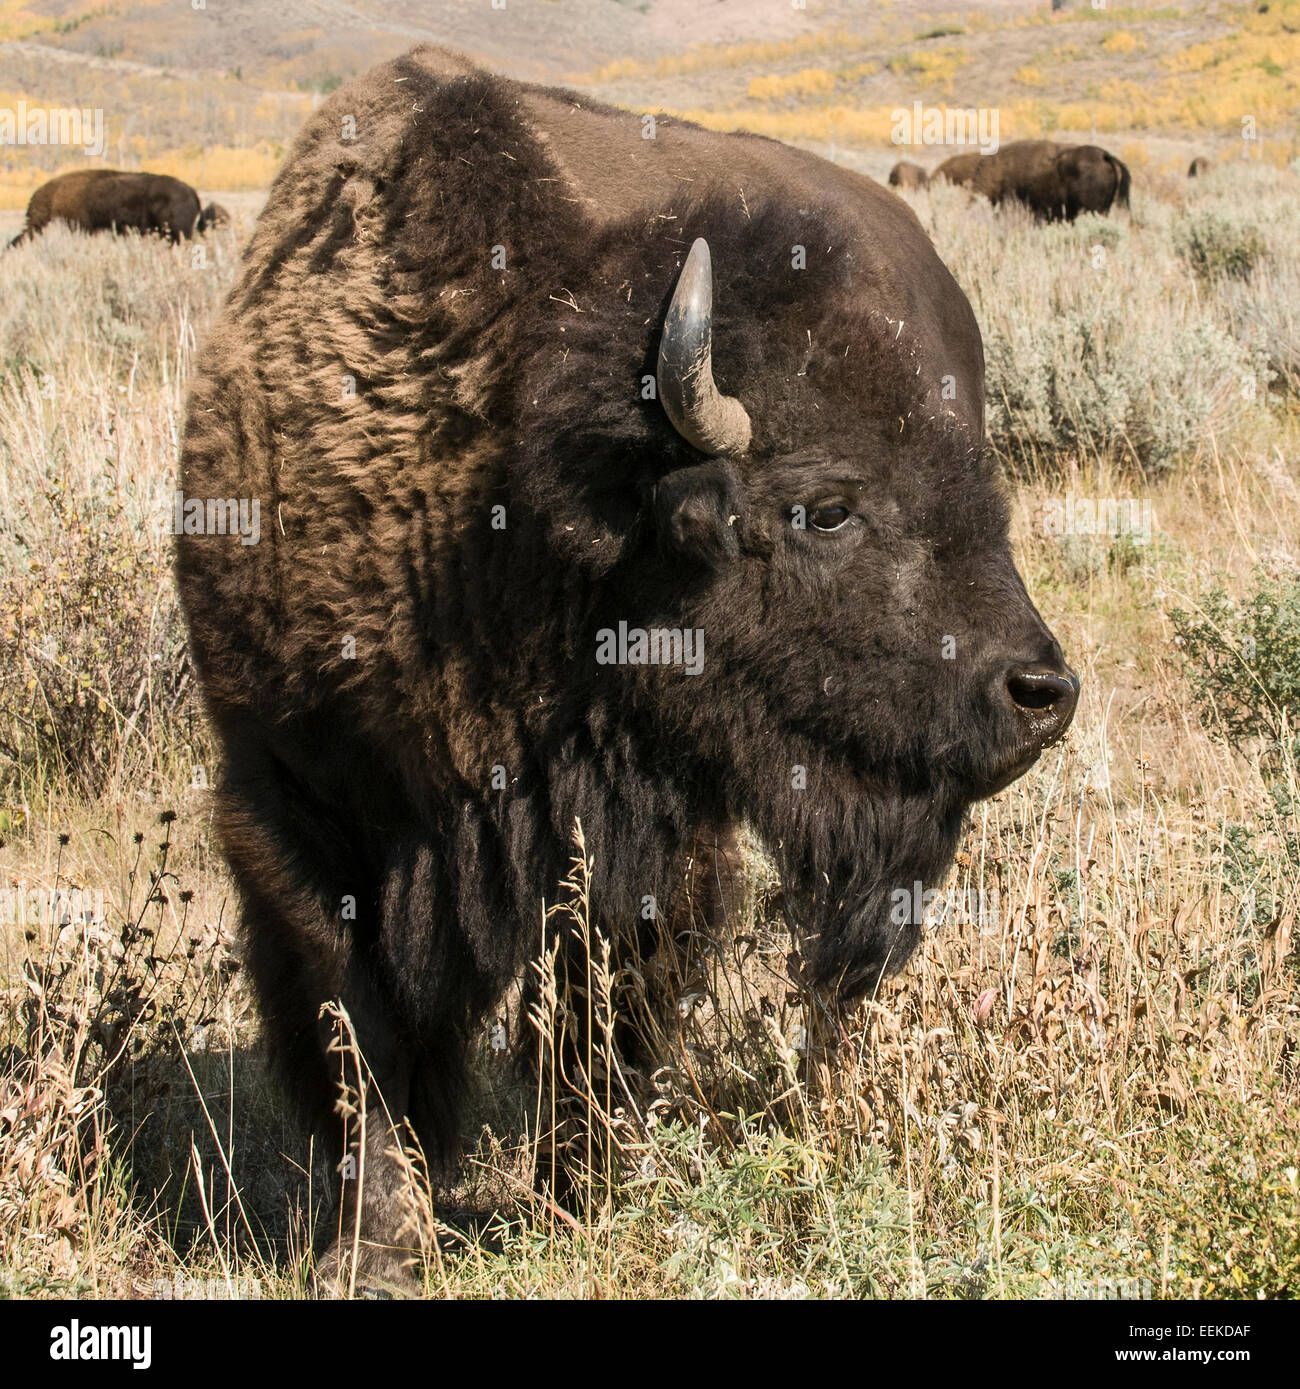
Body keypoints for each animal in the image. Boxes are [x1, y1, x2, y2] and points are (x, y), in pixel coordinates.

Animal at [177, 45, 1078, 1290]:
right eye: (827, 507)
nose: (1039, 695)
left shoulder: (637, 835)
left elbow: (596, 1005)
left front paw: (582, 1197)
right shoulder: (291, 802)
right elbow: (358, 1029)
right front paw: (376, 1251)